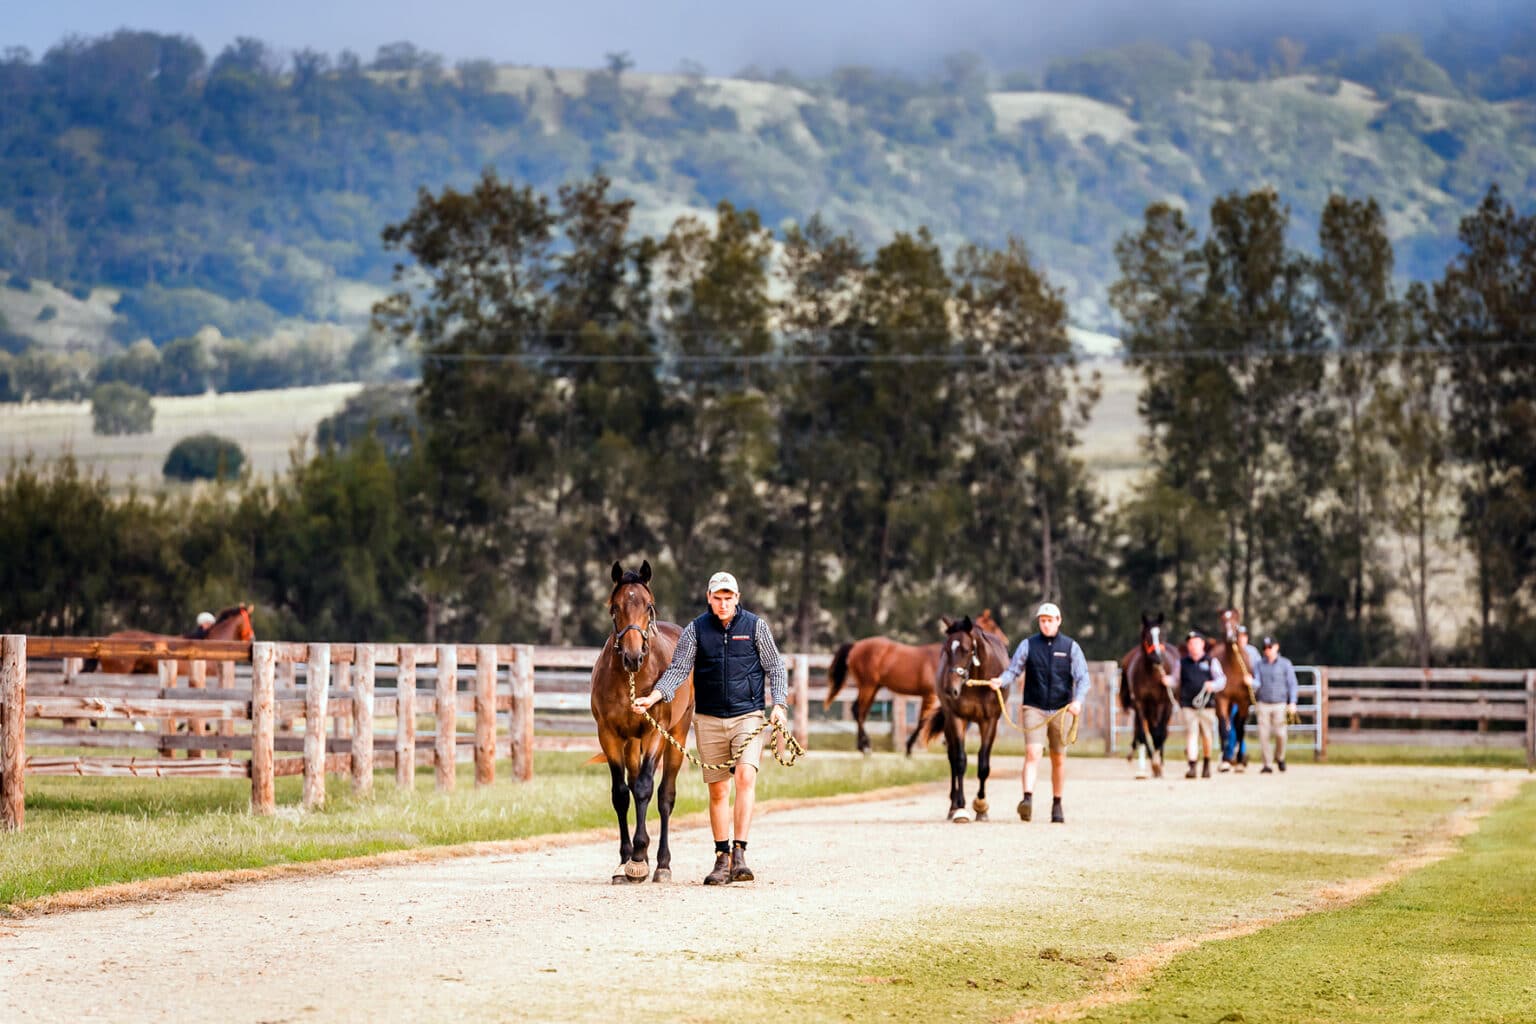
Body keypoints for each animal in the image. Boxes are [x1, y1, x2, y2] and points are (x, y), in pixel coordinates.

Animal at [589, 560, 692, 884]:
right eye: (615, 607)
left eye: (649, 606)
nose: (633, 656)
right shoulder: (609, 735)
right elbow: (622, 794)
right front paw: (626, 862)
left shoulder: (654, 732)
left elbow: (647, 788)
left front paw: (638, 858)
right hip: (632, 743)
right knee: (633, 787)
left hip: (677, 735)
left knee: (665, 795)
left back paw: (661, 864)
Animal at [825, 609, 1009, 756]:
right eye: (992, 625)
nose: (1005, 641)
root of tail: (856, 646)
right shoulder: (931, 695)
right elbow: (922, 721)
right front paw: (909, 748)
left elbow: (926, 720)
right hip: (867, 686)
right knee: (859, 711)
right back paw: (866, 747)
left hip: (873, 687)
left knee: (859, 711)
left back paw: (863, 746)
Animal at [922, 615, 1010, 823]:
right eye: (946, 650)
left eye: (965, 649)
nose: (950, 689)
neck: (978, 682)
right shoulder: (957, 718)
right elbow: (960, 761)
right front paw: (961, 808)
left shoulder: (990, 721)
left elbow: (983, 763)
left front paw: (981, 807)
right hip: (949, 722)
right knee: (953, 758)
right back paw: (953, 806)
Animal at [1118, 612, 1179, 779]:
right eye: (1147, 636)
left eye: (1162, 634)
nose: (1158, 658)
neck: (1152, 674)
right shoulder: (1140, 704)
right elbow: (1144, 735)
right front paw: (1153, 764)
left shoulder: (1165, 704)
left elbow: (1160, 733)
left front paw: (1159, 765)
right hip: (1150, 710)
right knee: (1148, 731)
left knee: (1162, 731)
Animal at [1210, 608, 1256, 772]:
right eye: (1223, 621)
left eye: (1236, 621)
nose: (1230, 637)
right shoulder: (1222, 699)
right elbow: (1225, 728)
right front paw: (1225, 761)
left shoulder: (1243, 702)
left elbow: (1240, 728)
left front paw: (1240, 760)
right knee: (1224, 726)